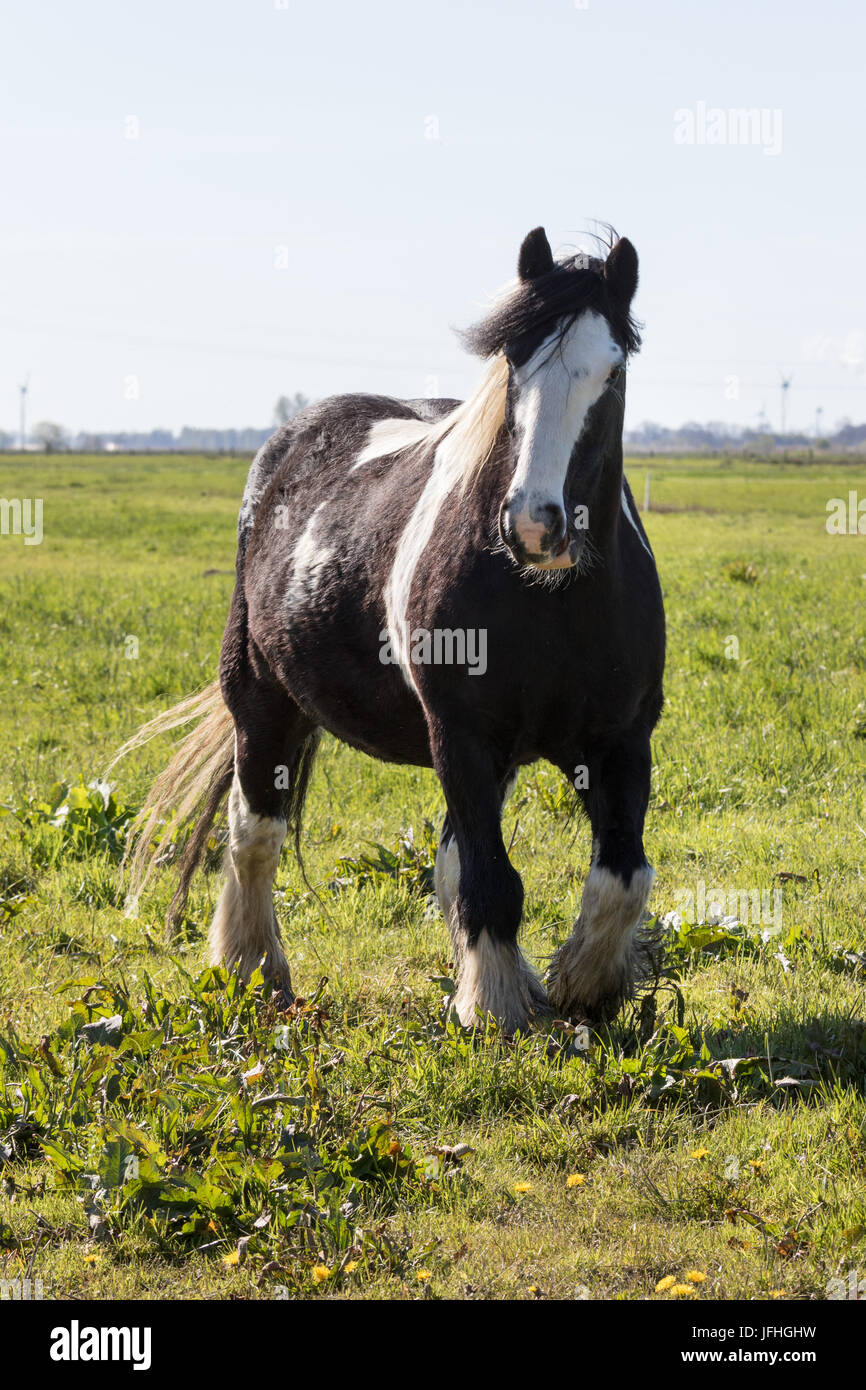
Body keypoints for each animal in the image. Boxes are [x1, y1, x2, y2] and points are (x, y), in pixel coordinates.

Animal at [118, 225, 666, 1035]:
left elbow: (622, 876)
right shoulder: (460, 737)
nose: (535, 524)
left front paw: (578, 987)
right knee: (255, 833)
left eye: (612, 371)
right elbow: (492, 880)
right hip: (263, 702)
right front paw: (497, 1008)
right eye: (514, 366)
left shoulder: (620, 739)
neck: (551, 599)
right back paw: (252, 969)